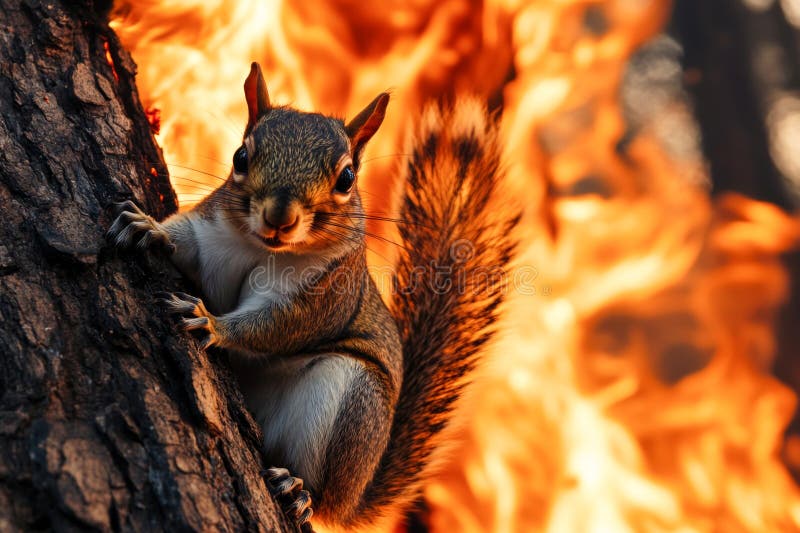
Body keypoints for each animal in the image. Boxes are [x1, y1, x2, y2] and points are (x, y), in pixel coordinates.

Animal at [108, 62, 518, 532]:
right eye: (240, 157)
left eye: (346, 178)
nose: (279, 217)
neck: (262, 249)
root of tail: (354, 496)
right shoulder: (208, 234)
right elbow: (182, 240)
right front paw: (148, 226)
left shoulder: (321, 295)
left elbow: (272, 327)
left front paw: (211, 324)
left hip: (349, 399)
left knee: (321, 496)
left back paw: (300, 490)